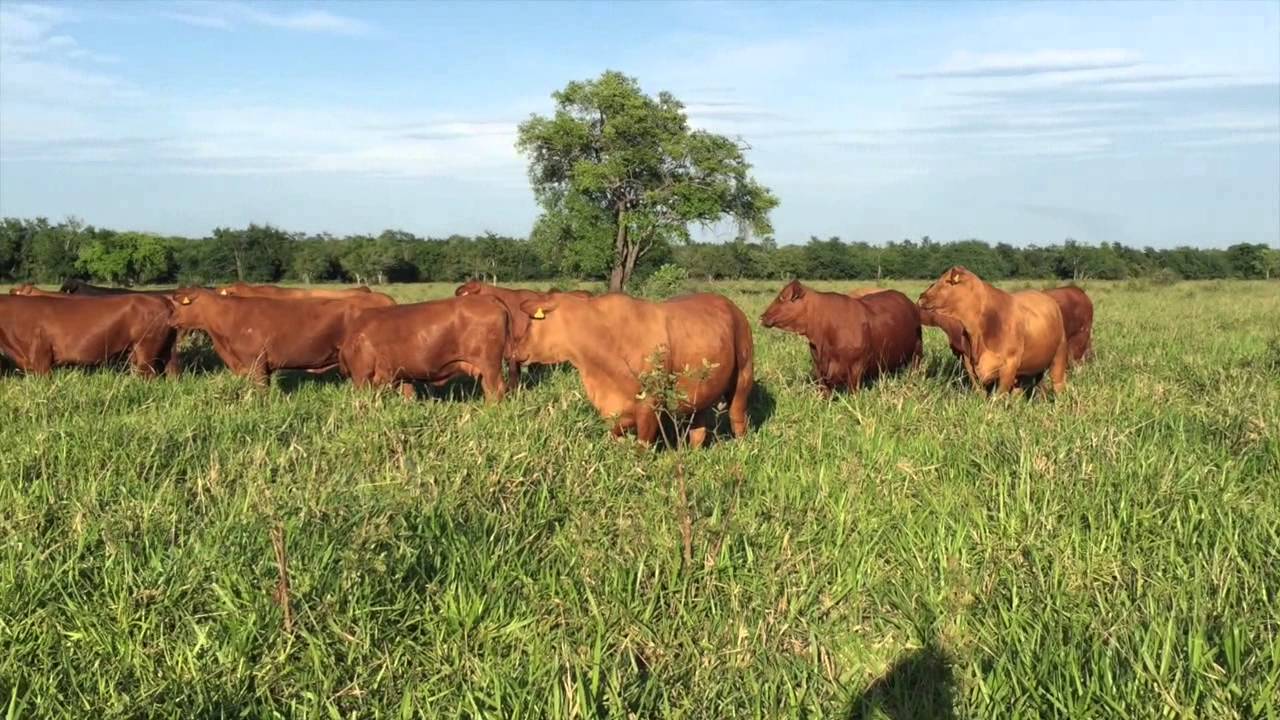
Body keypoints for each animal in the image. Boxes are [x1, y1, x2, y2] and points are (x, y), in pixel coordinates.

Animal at [512, 292, 754, 448]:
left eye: (533, 319)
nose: (515, 350)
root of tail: (732, 306)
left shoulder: (650, 404)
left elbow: (642, 447)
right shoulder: (613, 411)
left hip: (743, 376)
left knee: (738, 420)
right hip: (700, 392)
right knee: (698, 430)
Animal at [918, 266, 1068, 395]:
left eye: (946, 282)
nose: (921, 297)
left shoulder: (1009, 365)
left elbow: (999, 396)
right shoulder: (969, 363)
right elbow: (979, 392)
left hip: (1059, 356)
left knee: (1058, 385)